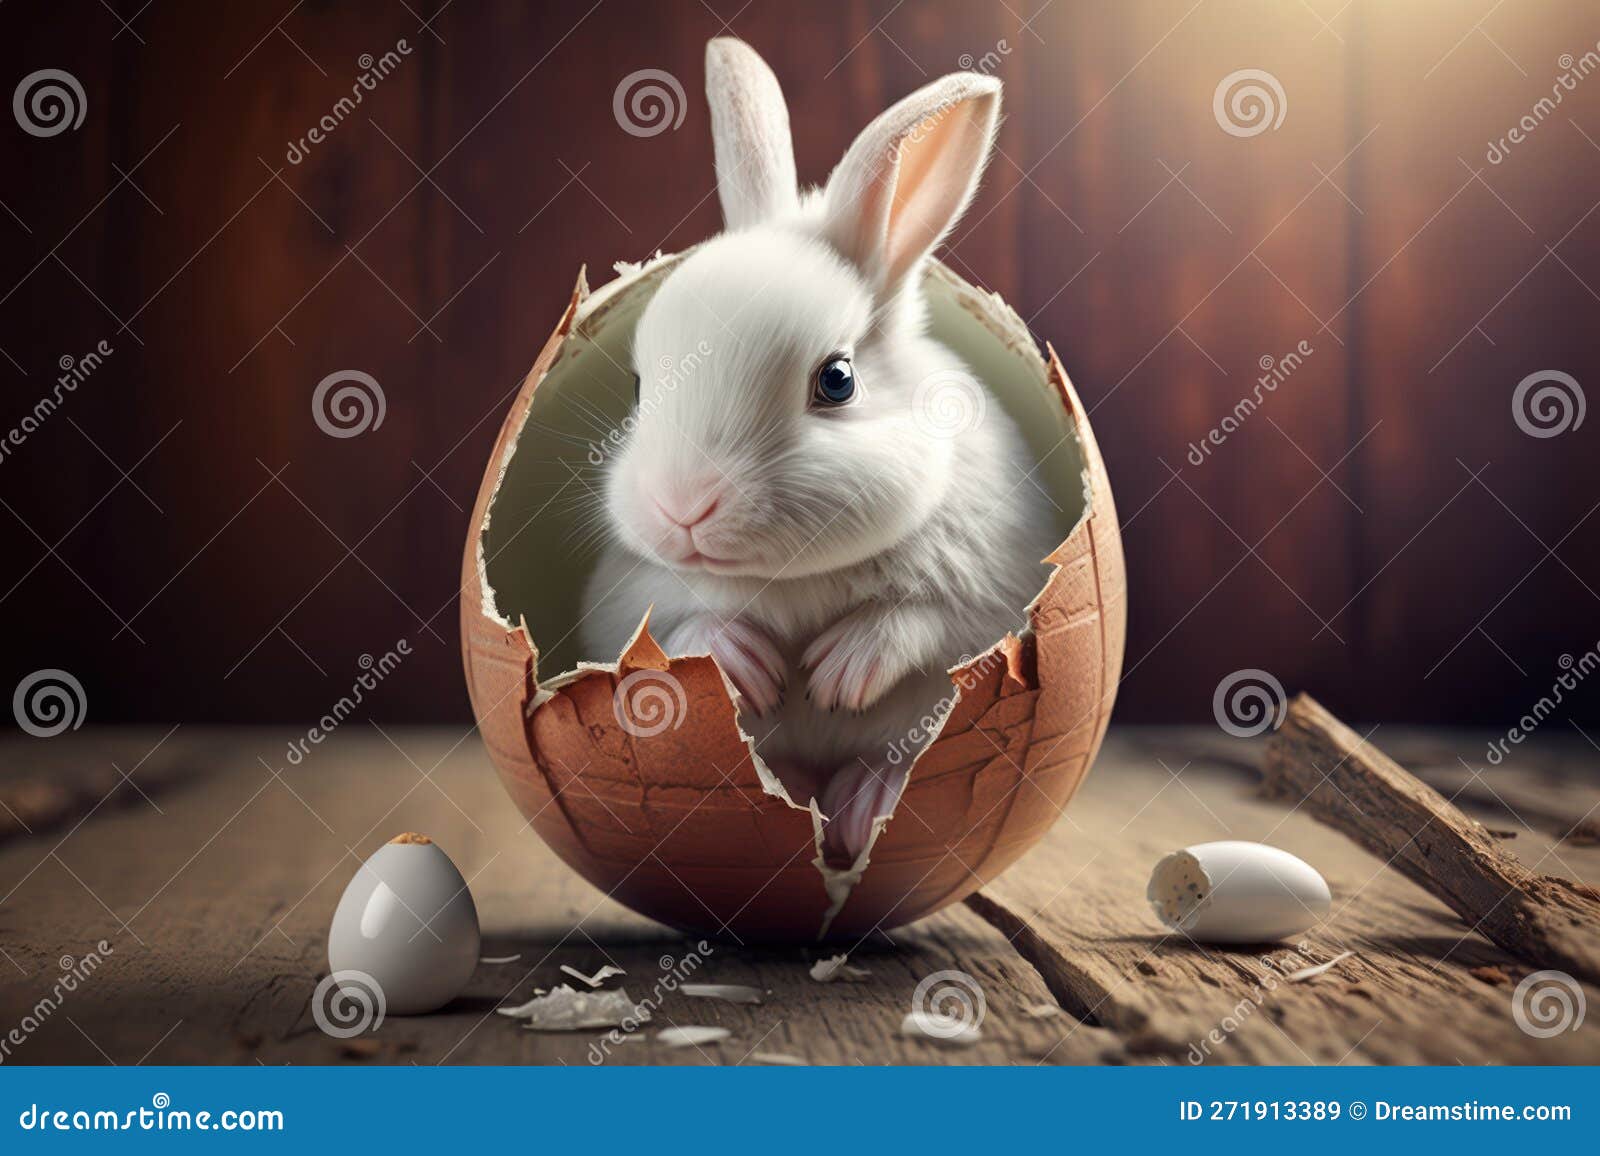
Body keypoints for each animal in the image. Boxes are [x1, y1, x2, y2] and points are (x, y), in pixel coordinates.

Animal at [581, 38, 1057, 866]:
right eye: (639, 387)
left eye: (837, 381)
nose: (682, 508)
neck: (791, 576)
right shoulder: (624, 601)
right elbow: (669, 632)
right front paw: (748, 663)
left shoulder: (1002, 592)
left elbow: (928, 618)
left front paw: (840, 671)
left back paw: (865, 800)